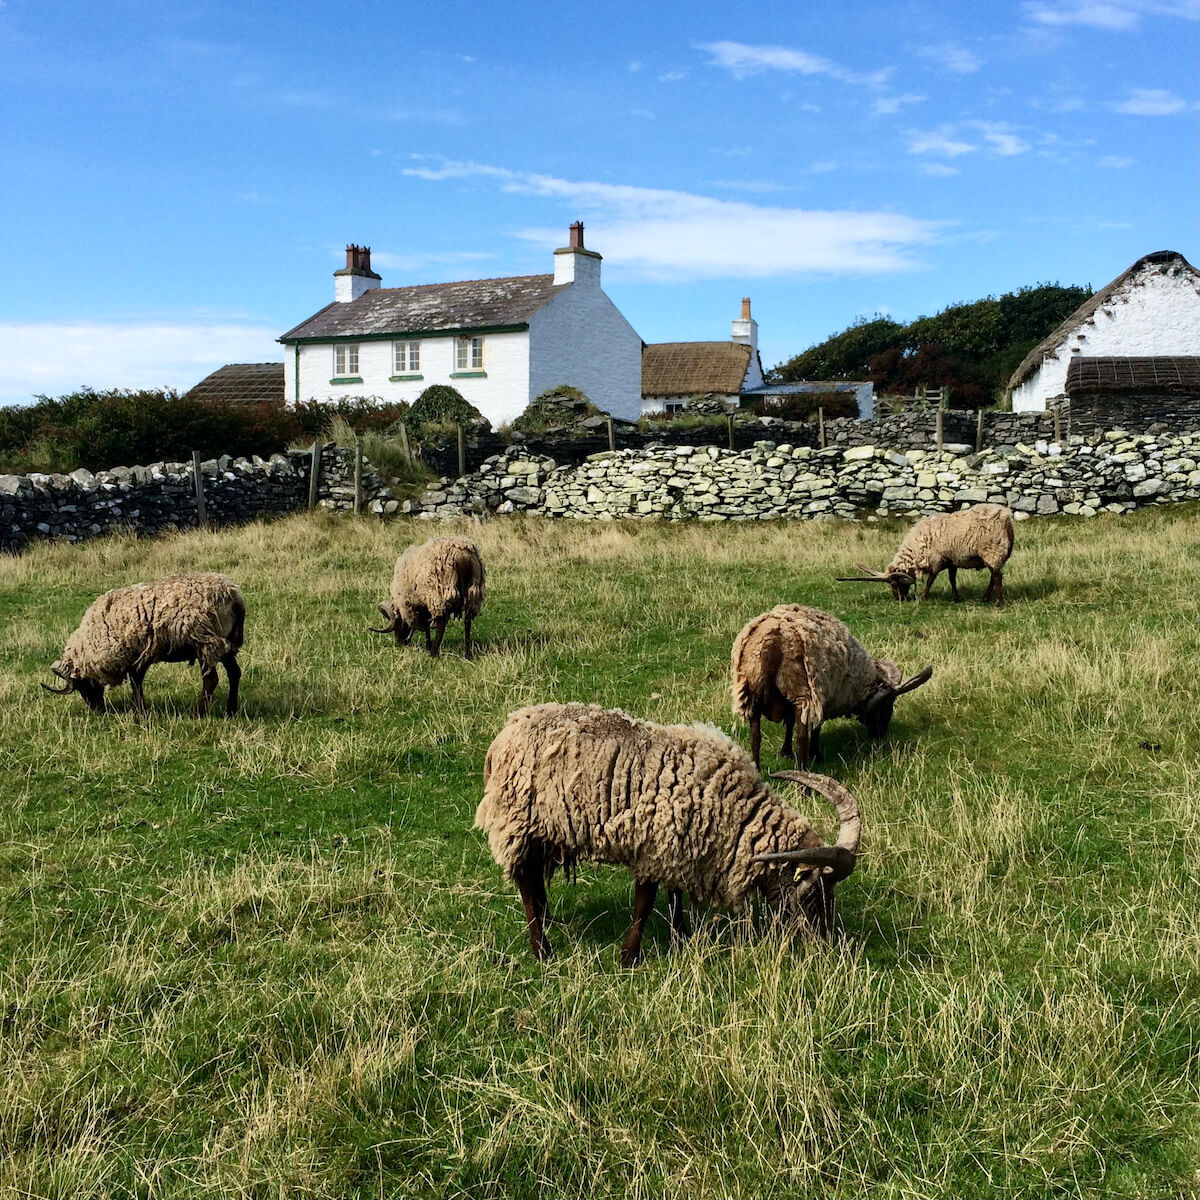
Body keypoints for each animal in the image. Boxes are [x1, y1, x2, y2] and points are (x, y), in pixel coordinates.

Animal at [42, 572, 245, 716]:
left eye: (82, 685)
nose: (97, 709)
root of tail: (234, 595)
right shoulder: (143, 652)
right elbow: (137, 681)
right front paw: (137, 708)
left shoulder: (133, 652)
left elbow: (135, 681)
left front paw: (139, 712)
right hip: (225, 642)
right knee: (234, 673)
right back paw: (231, 711)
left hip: (204, 640)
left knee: (211, 679)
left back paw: (198, 712)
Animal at [475, 702, 862, 965]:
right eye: (812, 895)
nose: (825, 946)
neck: (736, 813)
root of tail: (504, 736)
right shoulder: (653, 848)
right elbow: (644, 905)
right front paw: (629, 956)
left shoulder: (678, 847)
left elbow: (675, 899)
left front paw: (681, 937)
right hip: (520, 826)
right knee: (527, 886)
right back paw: (542, 948)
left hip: (544, 833)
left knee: (536, 886)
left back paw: (548, 921)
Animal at [731, 605, 932, 767]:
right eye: (887, 704)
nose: (881, 733)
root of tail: (771, 641)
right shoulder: (823, 697)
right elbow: (816, 729)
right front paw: (816, 755)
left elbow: (788, 724)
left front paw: (786, 751)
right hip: (802, 693)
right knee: (802, 738)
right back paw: (804, 774)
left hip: (751, 694)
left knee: (755, 738)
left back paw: (758, 768)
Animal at [839, 502, 1014, 605]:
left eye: (895, 583)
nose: (899, 599)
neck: (916, 548)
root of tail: (1005, 516)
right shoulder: (951, 559)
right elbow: (952, 579)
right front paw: (955, 598)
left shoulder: (936, 559)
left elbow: (931, 579)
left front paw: (923, 597)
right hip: (995, 555)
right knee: (994, 576)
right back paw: (985, 598)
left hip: (992, 551)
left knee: (997, 577)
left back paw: (998, 603)